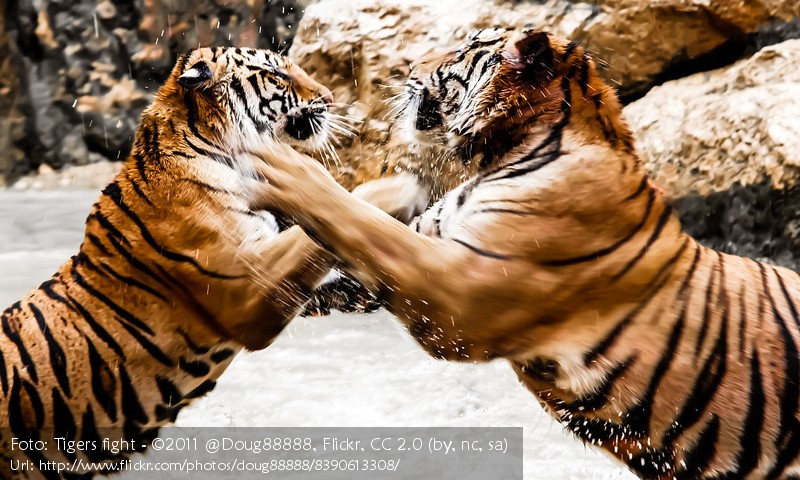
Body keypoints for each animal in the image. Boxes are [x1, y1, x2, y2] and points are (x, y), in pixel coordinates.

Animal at [247, 28, 800, 479]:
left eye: (462, 50)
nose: (406, 66)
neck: (511, 147)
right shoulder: (431, 242)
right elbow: (340, 260)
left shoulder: (458, 296)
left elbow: (356, 221)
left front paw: (281, 166)